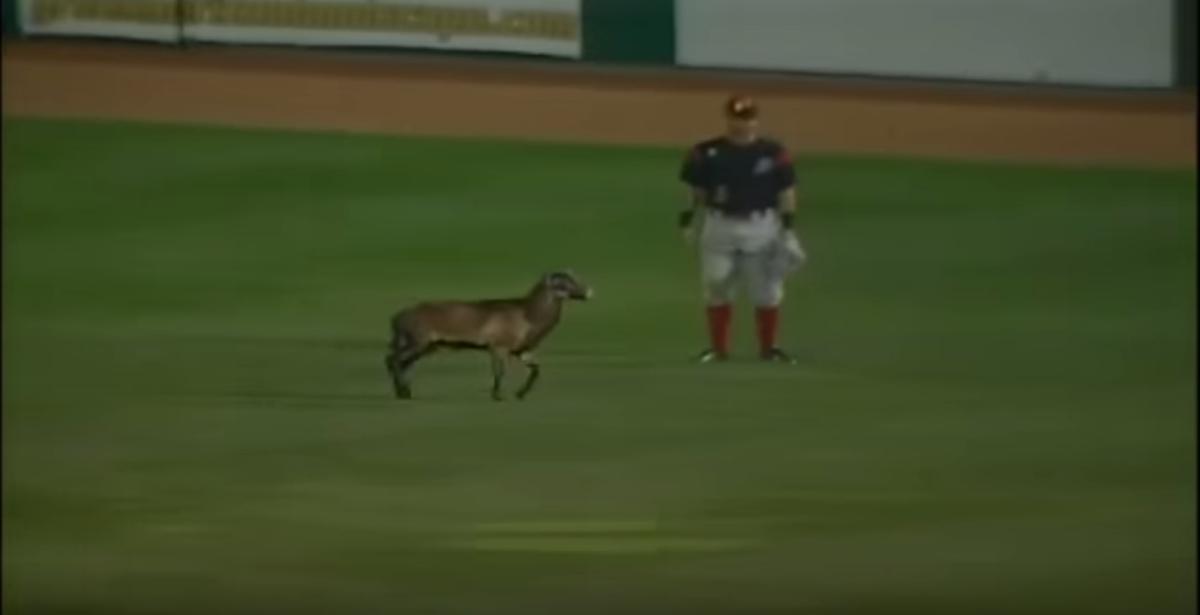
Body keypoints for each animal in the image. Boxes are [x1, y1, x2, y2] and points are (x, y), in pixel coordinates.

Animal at [385, 271, 592, 401]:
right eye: (563, 283)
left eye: (575, 279)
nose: (586, 293)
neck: (528, 318)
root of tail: (396, 318)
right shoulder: (498, 345)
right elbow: (499, 372)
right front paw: (498, 396)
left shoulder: (522, 350)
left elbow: (536, 371)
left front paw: (519, 395)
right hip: (417, 340)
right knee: (393, 359)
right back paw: (400, 393)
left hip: (427, 345)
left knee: (404, 362)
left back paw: (406, 392)